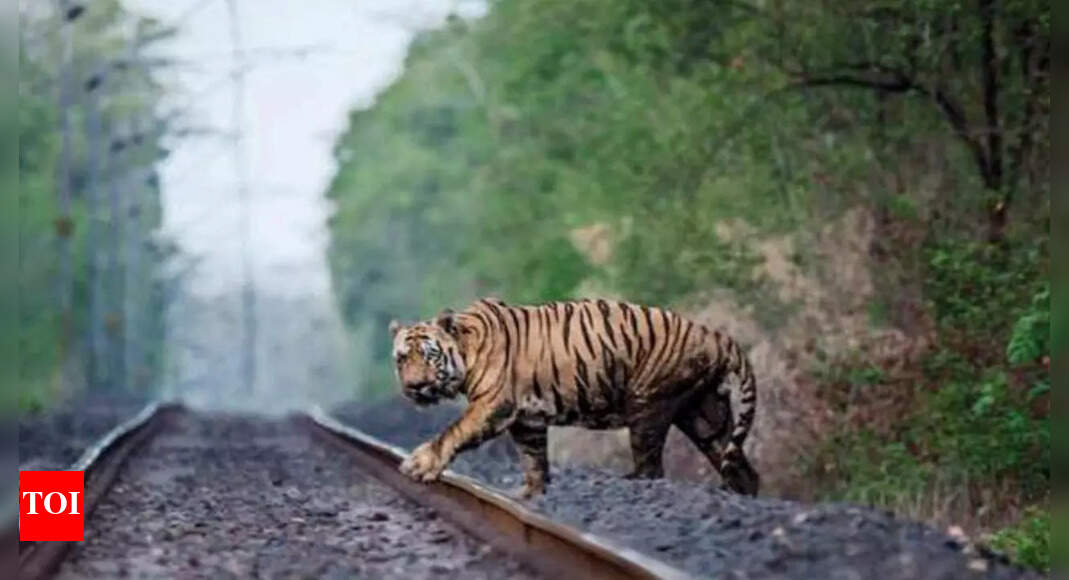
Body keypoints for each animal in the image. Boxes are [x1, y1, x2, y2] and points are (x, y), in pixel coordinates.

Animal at [390, 297, 759, 498]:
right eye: (402, 359)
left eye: (430, 356)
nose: (415, 386)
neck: (467, 348)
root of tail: (714, 335)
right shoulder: (528, 420)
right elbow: (534, 458)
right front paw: (530, 494)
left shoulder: (493, 406)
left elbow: (452, 433)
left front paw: (419, 465)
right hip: (705, 417)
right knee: (740, 466)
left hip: (648, 406)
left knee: (651, 464)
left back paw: (631, 484)